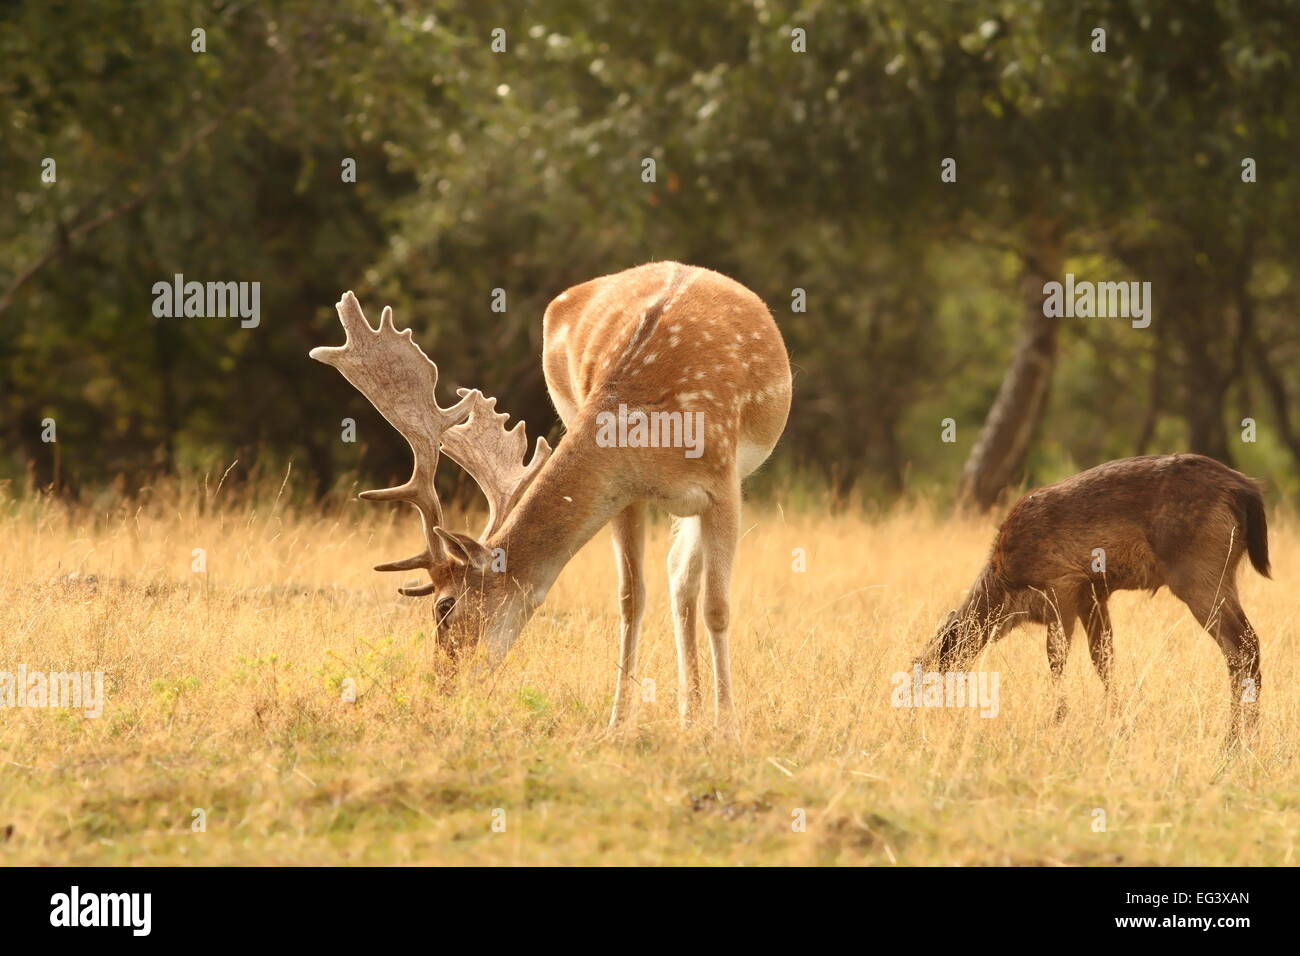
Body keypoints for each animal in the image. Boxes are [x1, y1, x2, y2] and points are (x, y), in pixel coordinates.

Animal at [310, 262, 792, 728]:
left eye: (445, 607)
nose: (442, 686)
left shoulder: (723, 482)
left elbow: (718, 606)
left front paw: (728, 730)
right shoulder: (626, 493)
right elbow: (630, 598)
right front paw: (618, 724)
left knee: (686, 580)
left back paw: (699, 717)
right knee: (677, 575)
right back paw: (688, 715)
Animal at [915, 454, 1269, 739]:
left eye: (931, 670)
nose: (927, 717)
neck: (1009, 589)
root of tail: (1246, 489)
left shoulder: (1061, 583)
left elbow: (1056, 656)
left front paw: (1059, 719)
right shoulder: (1094, 594)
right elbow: (1104, 657)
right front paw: (1119, 720)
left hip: (1197, 569)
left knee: (1240, 644)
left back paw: (1236, 737)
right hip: (1222, 572)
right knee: (1247, 642)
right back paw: (1245, 734)